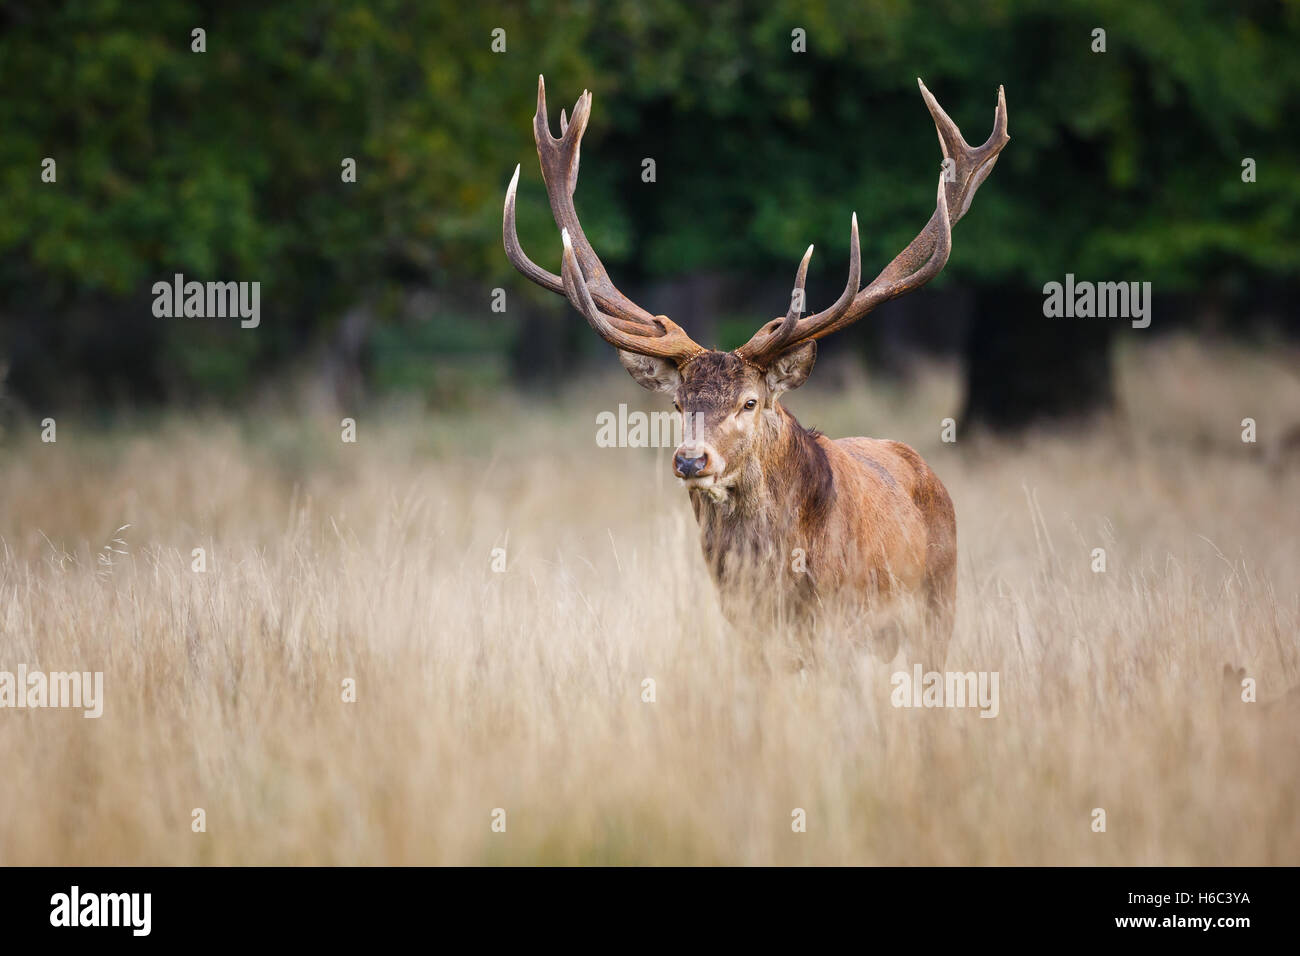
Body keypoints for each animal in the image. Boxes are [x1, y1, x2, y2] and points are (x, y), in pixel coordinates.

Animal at [504, 76, 1009, 666]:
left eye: (750, 401)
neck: (779, 576)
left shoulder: (838, 626)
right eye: (678, 403)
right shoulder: (747, 630)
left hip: (936, 608)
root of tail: (926, 471)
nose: (691, 460)